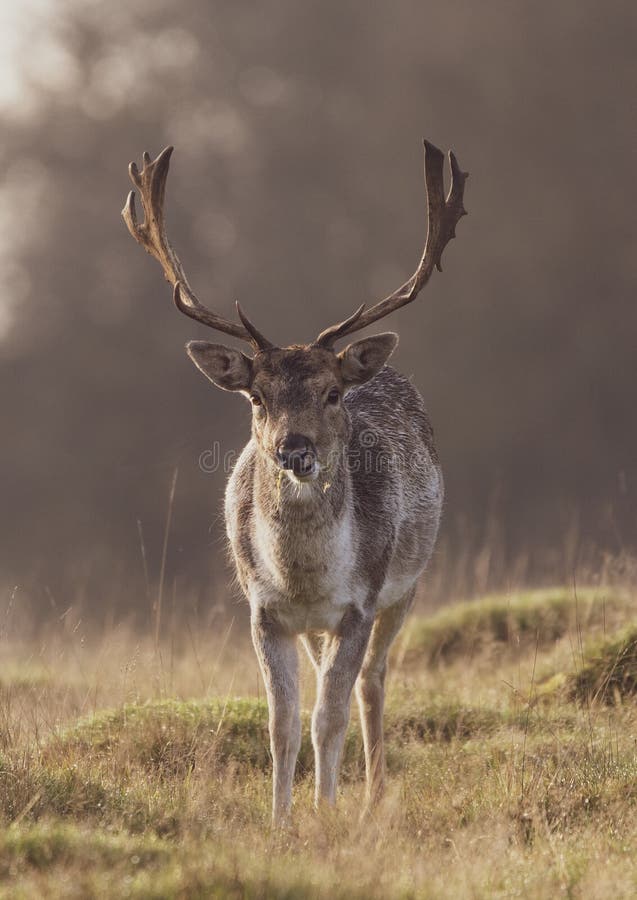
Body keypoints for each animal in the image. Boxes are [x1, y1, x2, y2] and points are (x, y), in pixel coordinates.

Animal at [122, 139, 467, 823]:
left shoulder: (359, 603)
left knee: (372, 682)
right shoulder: (265, 611)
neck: (306, 577)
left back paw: (372, 798)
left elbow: (326, 717)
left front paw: (325, 812)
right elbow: (282, 722)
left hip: (407, 585)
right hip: (318, 626)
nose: (294, 449)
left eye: (332, 393)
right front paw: (280, 820)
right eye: (257, 396)